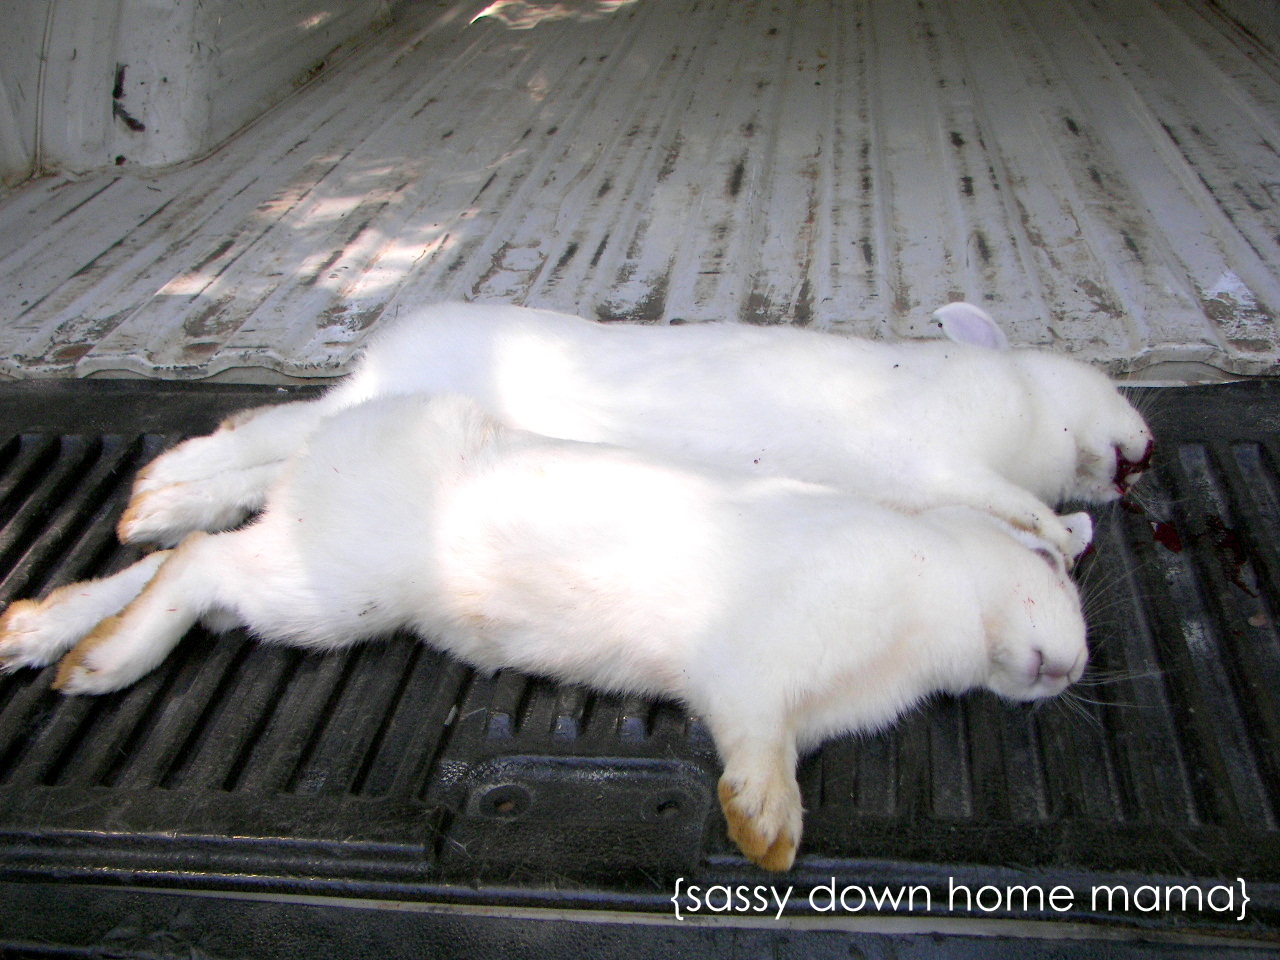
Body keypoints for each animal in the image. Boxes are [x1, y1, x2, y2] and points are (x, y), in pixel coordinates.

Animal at [0, 393, 1091, 871]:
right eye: (1046, 571)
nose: (1072, 666)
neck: (941, 589)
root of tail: (333, 442)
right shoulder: (754, 671)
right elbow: (755, 742)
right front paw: (767, 832)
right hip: (335, 592)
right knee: (198, 565)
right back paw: (103, 661)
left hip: (300, 569)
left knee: (166, 567)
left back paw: (42, 633)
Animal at [117, 301, 1151, 567]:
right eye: (1110, 383)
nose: (1143, 455)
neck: (1022, 398)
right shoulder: (943, 460)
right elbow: (1005, 501)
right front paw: (1062, 534)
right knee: (276, 432)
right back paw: (158, 497)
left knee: (276, 449)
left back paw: (160, 506)